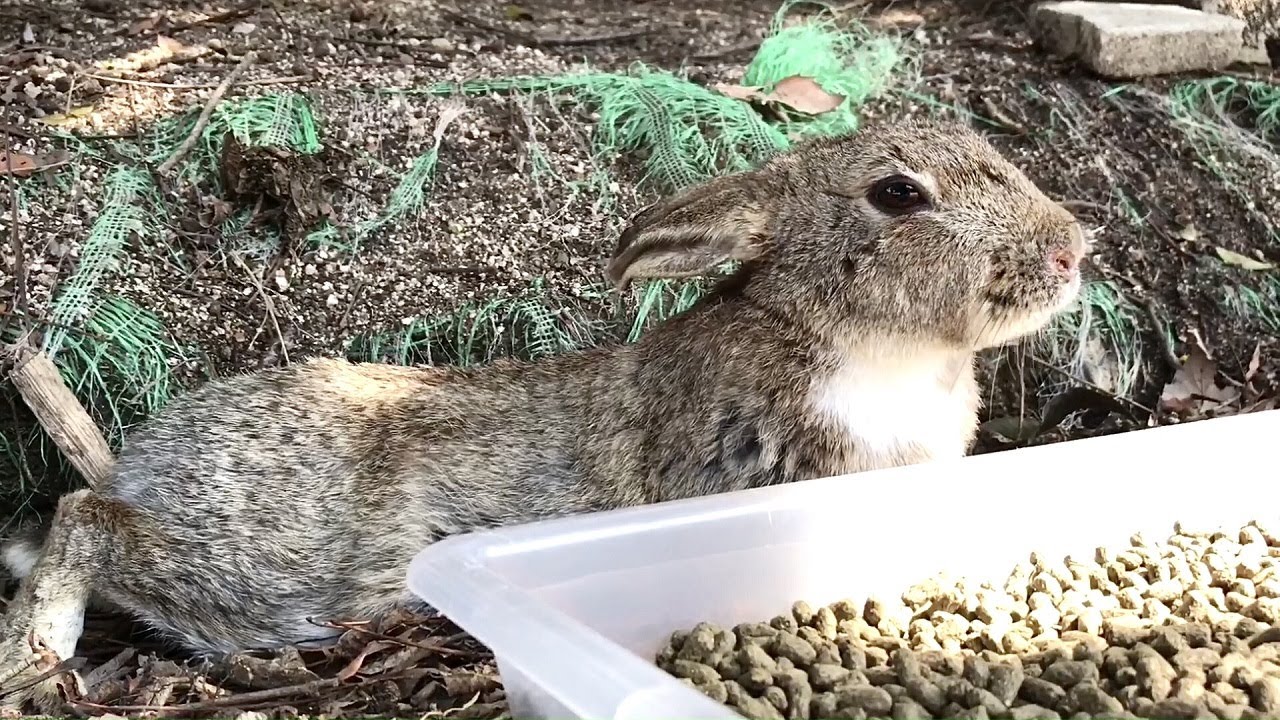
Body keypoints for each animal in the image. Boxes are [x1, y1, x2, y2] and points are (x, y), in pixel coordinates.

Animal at [0, 118, 1087, 710]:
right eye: (896, 195)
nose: (1072, 249)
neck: (858, 339)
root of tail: (140, 461)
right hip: (269, 567)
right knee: (85, 522)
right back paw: (36, 651)